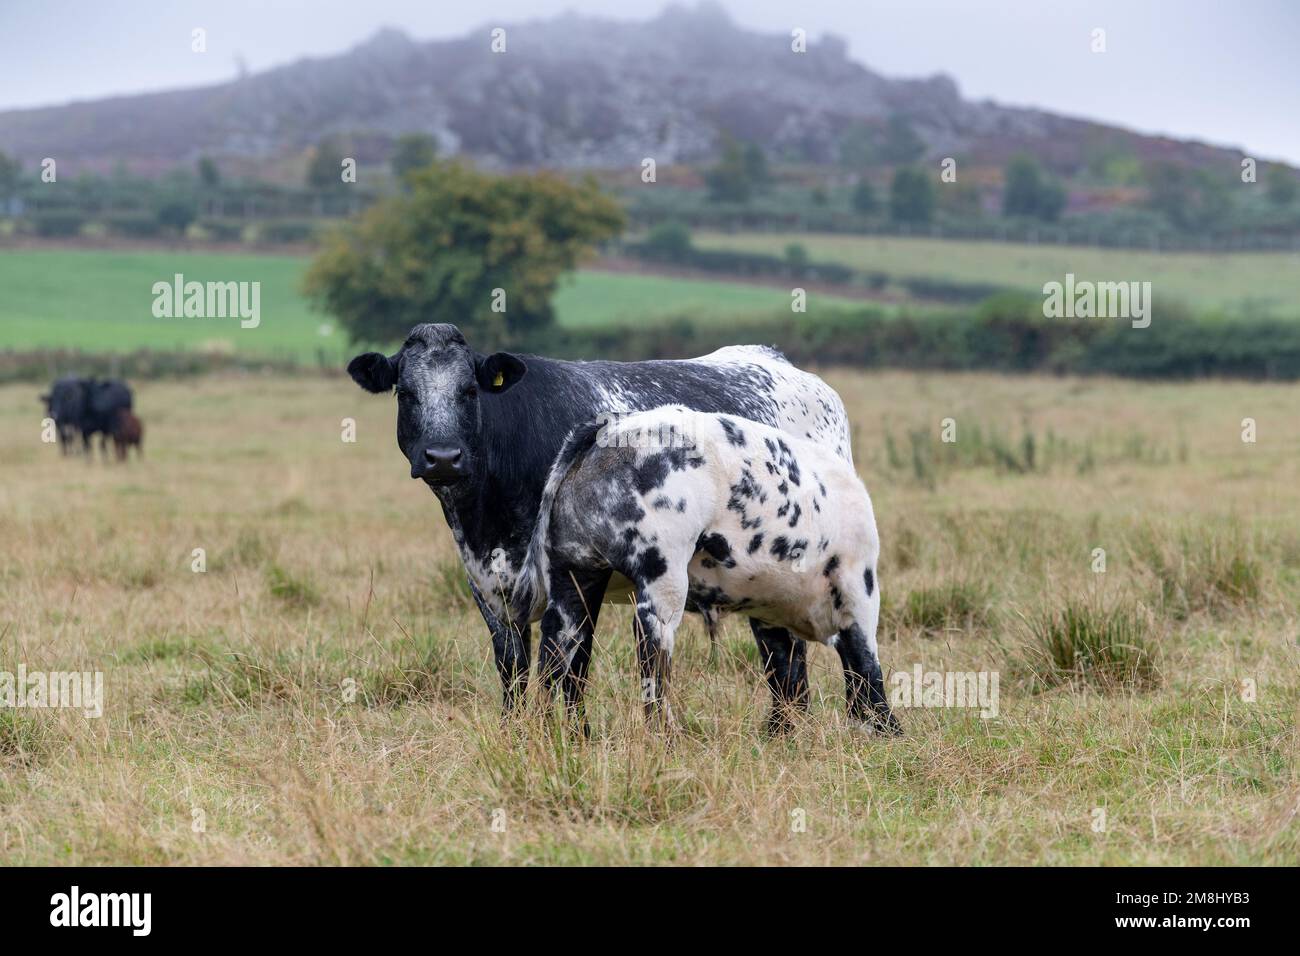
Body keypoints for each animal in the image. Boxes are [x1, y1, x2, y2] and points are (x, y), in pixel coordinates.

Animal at [347, 322, 853, 731]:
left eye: (470, 391)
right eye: (406, 393)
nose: (443, 457)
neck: (485, 522)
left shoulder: (573, 579)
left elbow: (574, 667)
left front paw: (575, 737)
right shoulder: (490, 590)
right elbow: (513, 669)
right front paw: (515, 734)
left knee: (789, 651)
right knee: (782, 651)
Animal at [511, 406, 900, 736]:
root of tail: (608, 431)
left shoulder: (767, 609)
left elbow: (785, 672)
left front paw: (781, 732)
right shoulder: (858, 587)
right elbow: (865, 664)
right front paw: (886, 731)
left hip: (575, 573)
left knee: (559, 647)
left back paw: (558, 735)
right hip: (662, 571)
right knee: (651, 649)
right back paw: (665, 736)